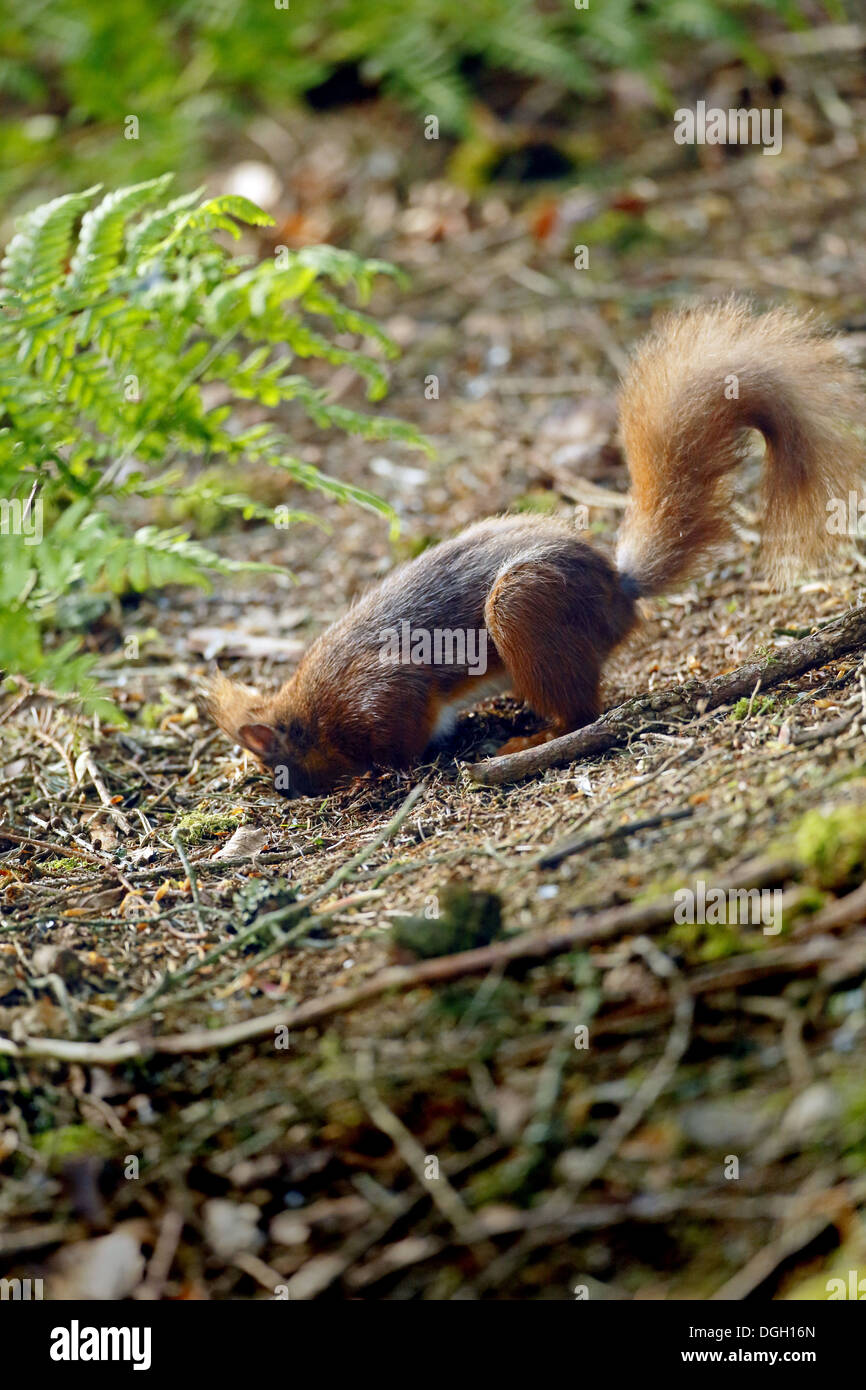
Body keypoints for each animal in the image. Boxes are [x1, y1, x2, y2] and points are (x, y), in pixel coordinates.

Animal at [208, 298, 864, 798]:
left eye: (282, 771)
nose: (282, 795)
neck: (314, 710)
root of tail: (619, 592)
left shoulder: (379, 696)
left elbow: (402, 740)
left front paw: (371, 778)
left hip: (525, 608)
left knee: (581, 710)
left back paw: (536, 737)